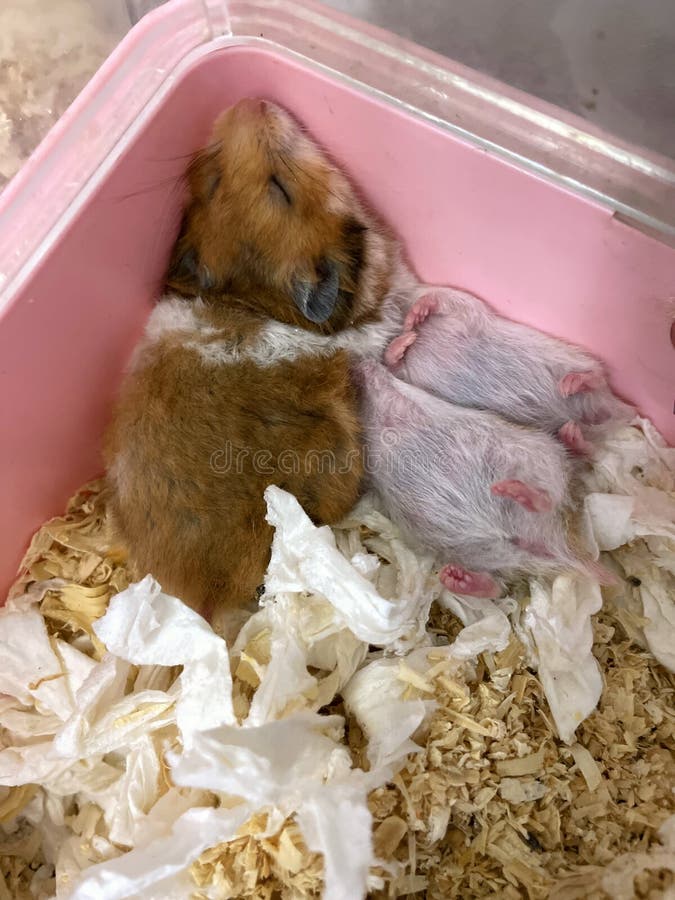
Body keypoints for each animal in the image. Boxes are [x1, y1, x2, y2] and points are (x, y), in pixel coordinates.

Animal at [357, 358, 600, 598]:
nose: (362, 364)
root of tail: (555, 541)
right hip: (495, 559)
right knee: (497, 586)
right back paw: (456, 578)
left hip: (547, 461)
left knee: (550, 498)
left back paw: (519, 488)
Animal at [384, 287, 633, 455]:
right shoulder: (408, 375)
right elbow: (395, 365)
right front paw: (402, 342)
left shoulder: (467, 314)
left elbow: (448, 301)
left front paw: (418, 312)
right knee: (589, 448)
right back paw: (571, 435)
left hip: (579, 360)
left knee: (598, 377)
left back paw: (574, 383)